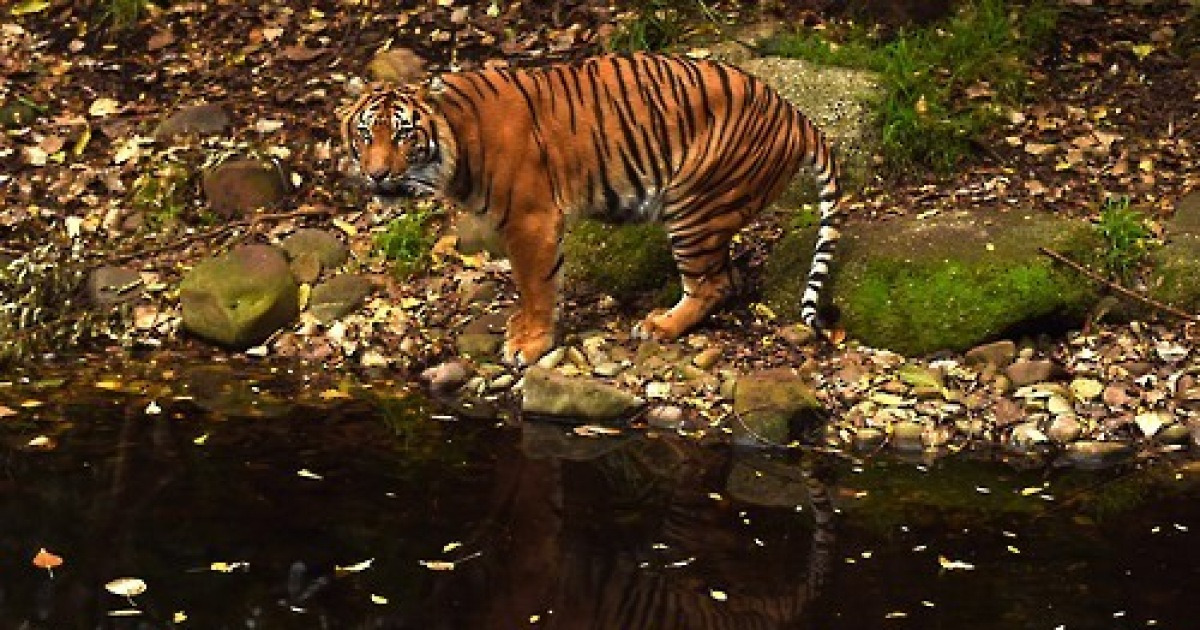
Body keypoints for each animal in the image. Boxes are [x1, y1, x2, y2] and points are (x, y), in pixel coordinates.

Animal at [341, 52, 841, 366]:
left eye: (404, 134)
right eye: (365, 134)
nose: (377, 174)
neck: (459, 139)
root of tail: (795, 112)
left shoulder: (531, 219)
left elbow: (537, 285)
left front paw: (530, 344)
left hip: (693, 206)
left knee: (714, 283)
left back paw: (660, 326)